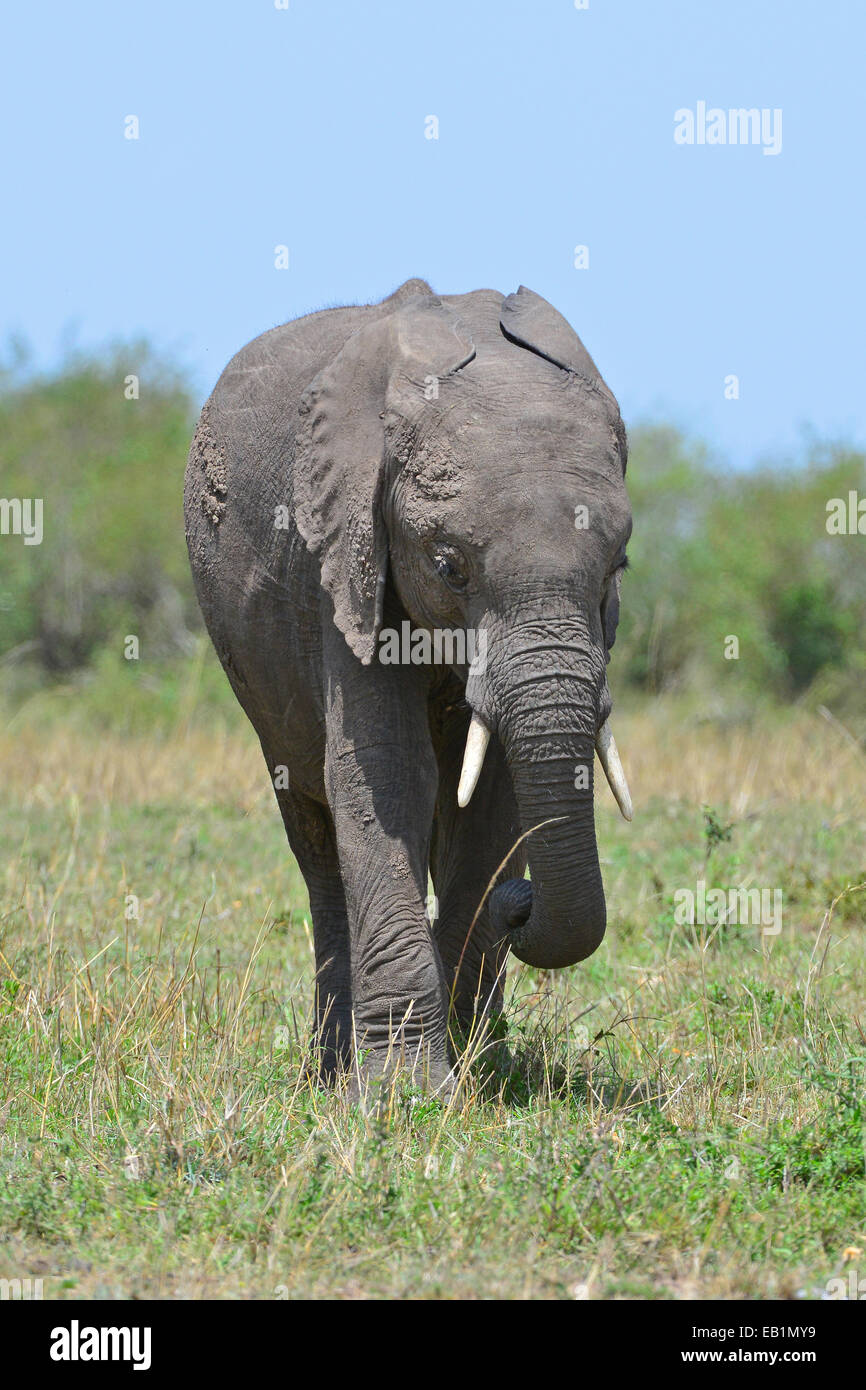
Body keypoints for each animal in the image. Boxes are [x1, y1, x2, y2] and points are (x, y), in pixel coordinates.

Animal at [184, 278, 633, 1095]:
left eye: (617, 567)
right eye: (449, 565)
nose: (521, 908)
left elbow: (492, 799)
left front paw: (475, 1072)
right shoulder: (342, 554)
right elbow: (384, 775)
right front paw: (403, 1094)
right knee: (315, 836)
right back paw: (331, 1069)